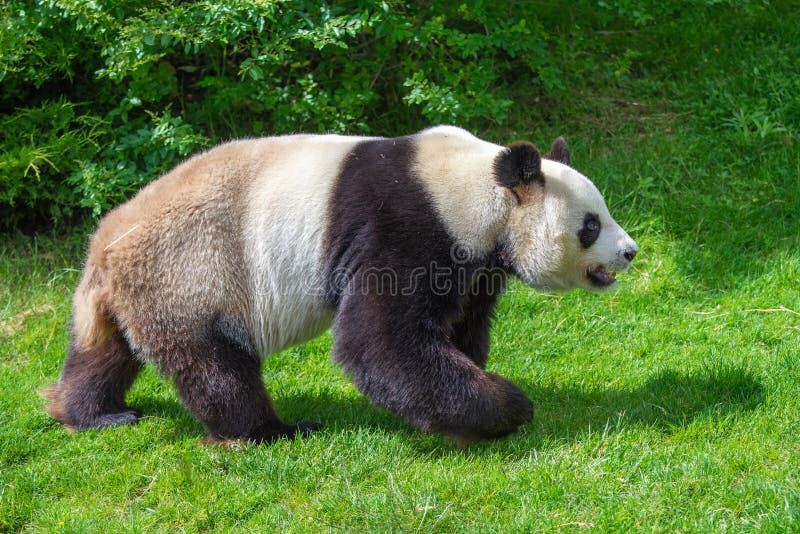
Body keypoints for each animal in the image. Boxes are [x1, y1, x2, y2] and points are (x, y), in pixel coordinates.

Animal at [44, 125, 637, 444]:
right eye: (591, 225)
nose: (630, 251)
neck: (478, 189)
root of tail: (103, 245)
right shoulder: (405, 224)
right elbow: (379, 341)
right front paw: (506, 406)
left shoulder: (475, 259)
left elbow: (461, 323)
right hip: (191, 274)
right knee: (215, 363)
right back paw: (271, 430)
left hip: (140, 292)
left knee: (107, 352)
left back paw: (94, 413)